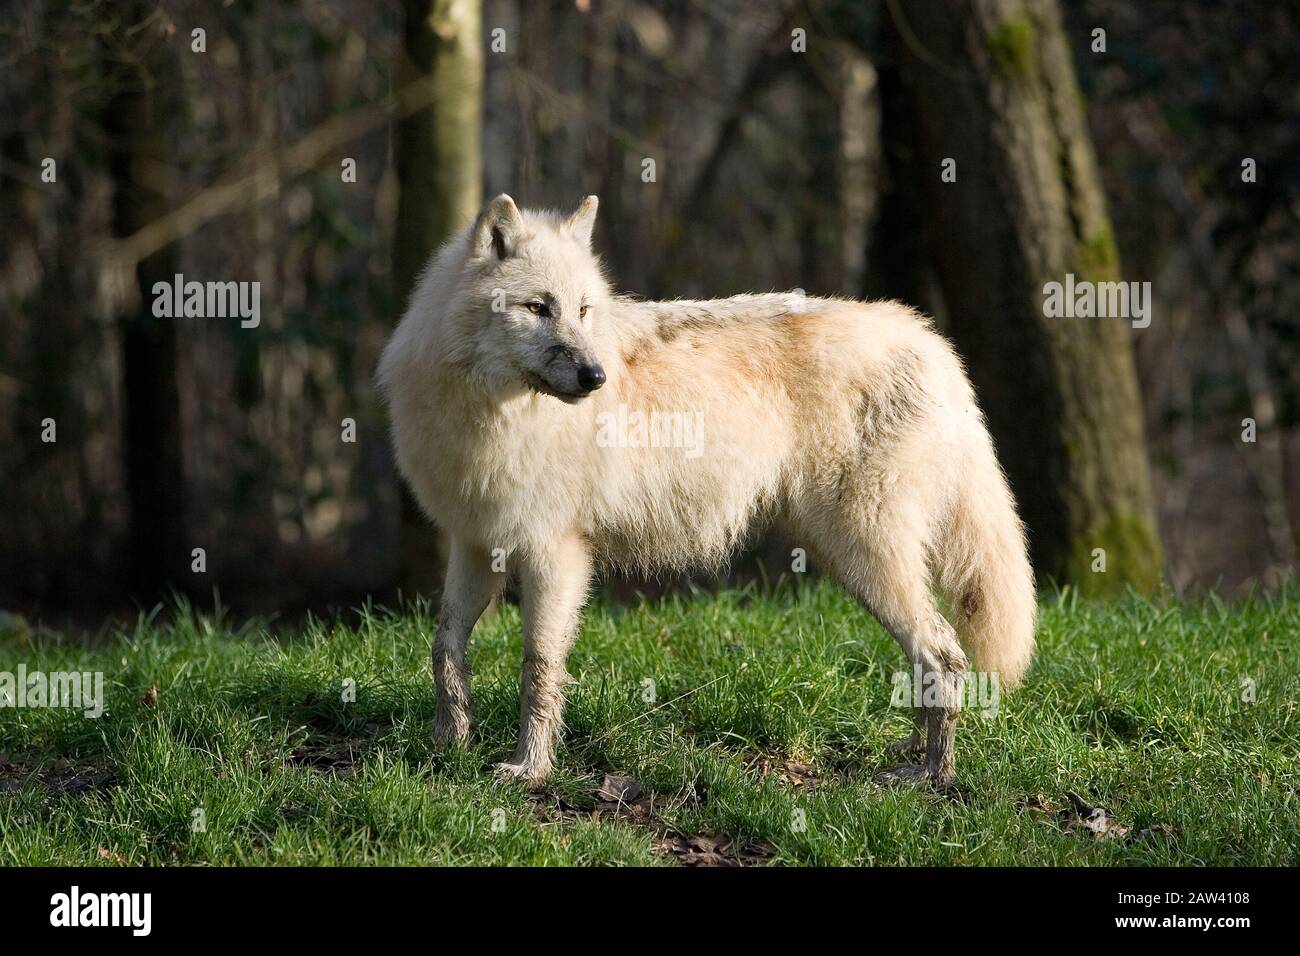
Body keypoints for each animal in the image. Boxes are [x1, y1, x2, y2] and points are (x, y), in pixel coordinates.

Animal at [378, 194, 1036, 788]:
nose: (596, 377)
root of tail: (930, 342)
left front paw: (529, 770)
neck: (491, 413)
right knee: (933, 657)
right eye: (539, 307)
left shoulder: (553, 554)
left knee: (945, 655)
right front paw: (448, 744)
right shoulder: (475, 542)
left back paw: (933, 777)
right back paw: (915, 757)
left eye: (584, 310)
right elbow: (445, 647)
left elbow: (537, 669)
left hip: (863, 557)